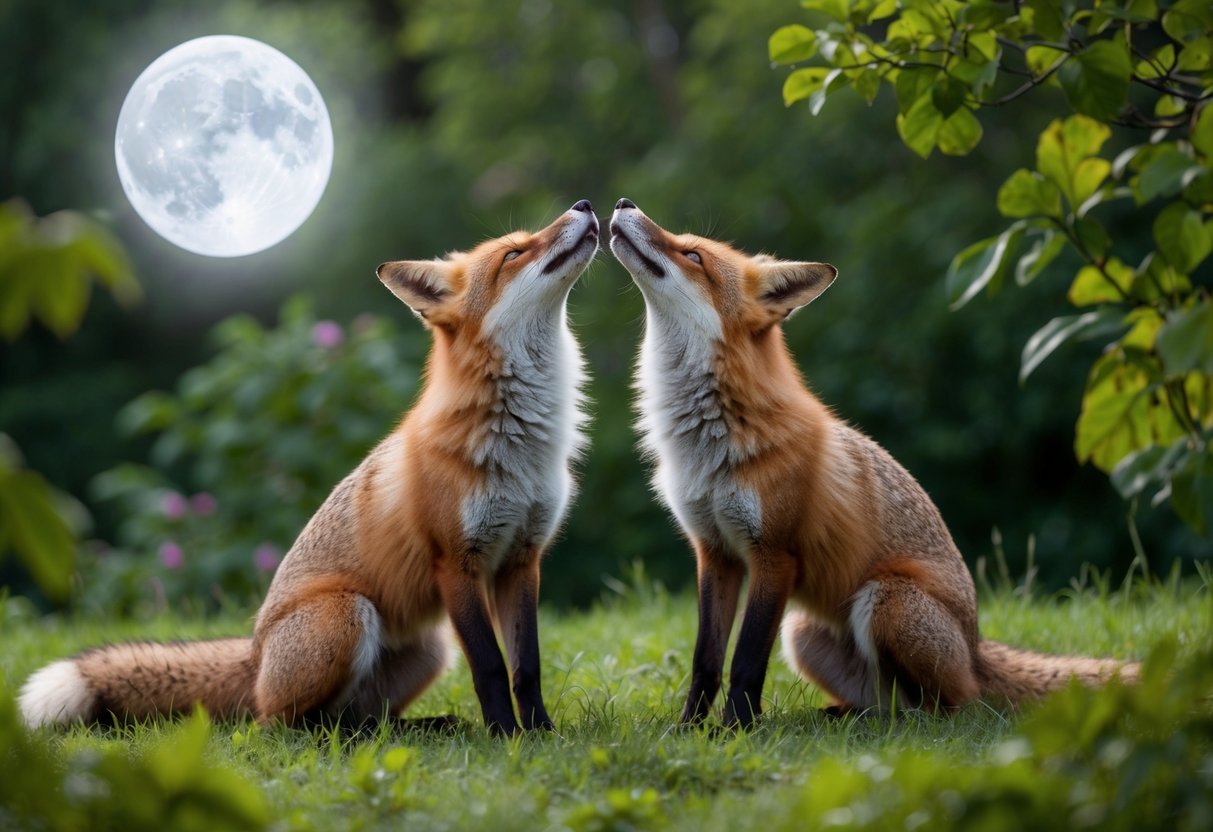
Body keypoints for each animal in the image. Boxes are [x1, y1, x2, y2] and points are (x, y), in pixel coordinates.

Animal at [19, 200, 601, 736]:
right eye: (514, 253)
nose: (584, 205)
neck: (520, 448)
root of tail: (255, 656)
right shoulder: (456, 562)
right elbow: (491, 667)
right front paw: (504, 736)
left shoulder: (521, 558)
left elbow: (526, 667)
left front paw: (540, 734)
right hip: (348, 615)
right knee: (283, 724)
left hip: (431, 648)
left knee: (363, 716)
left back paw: (421, 727)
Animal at [609, 197, 1139, 728]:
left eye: (693, 255)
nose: (623, 204)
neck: (710, 443)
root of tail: (976, 649)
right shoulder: (714, 552)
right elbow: (707, 659)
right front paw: (691, 728)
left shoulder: (774, 555)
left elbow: (745, 661)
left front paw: (738, 728)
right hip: (803, 632)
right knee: (890, 701)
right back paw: (845, 717)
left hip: (885, 601)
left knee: (952, 708)